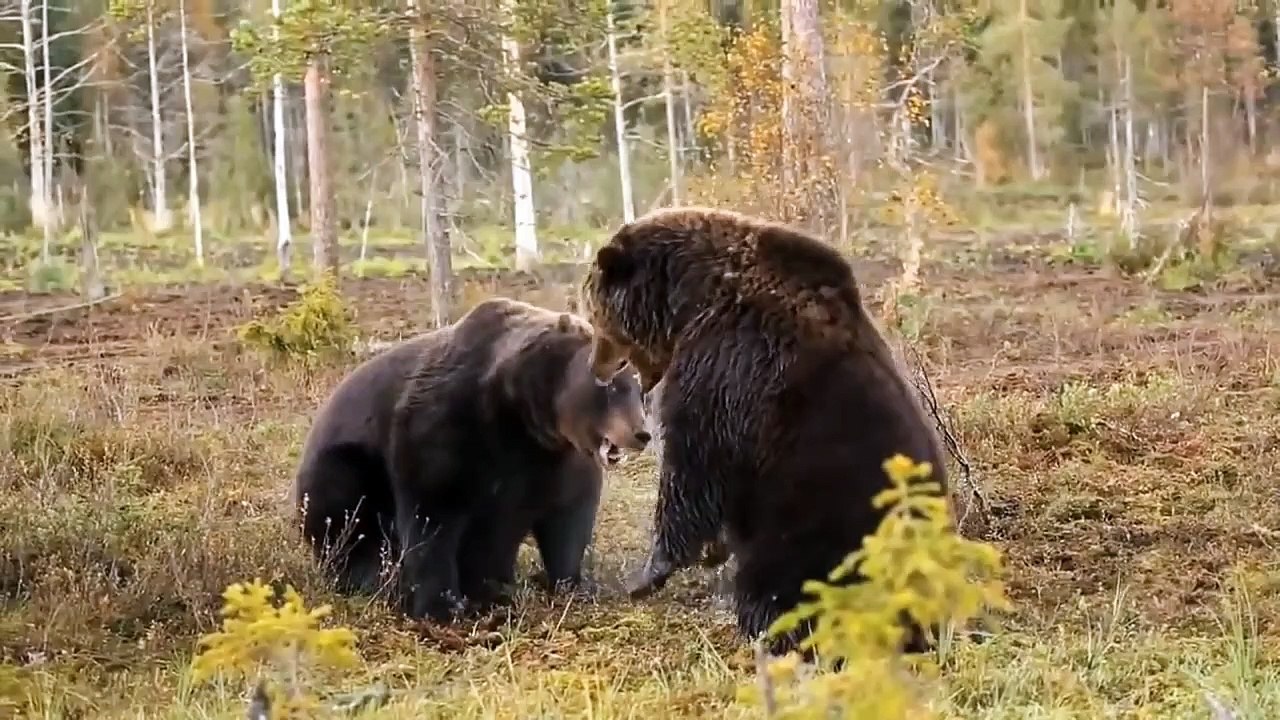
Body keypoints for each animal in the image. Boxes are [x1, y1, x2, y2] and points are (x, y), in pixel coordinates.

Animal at [292, 297, 652, 621]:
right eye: (612, 387)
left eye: (640, 391)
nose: (641, 433)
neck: (523, 417)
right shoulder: (446, 430)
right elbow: (432, 517)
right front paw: (441, 606)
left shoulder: (558, 462)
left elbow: (567, 519)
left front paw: (573, 585)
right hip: (345, 463)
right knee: (347, 513)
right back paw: (372, 577)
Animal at [578, 206, 951, 656]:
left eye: (596, 316)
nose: (595, 368)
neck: (687, 301)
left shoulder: (724, 370)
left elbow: (692, 466)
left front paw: (648, 574)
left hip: (820, 518)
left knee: (782, 576)